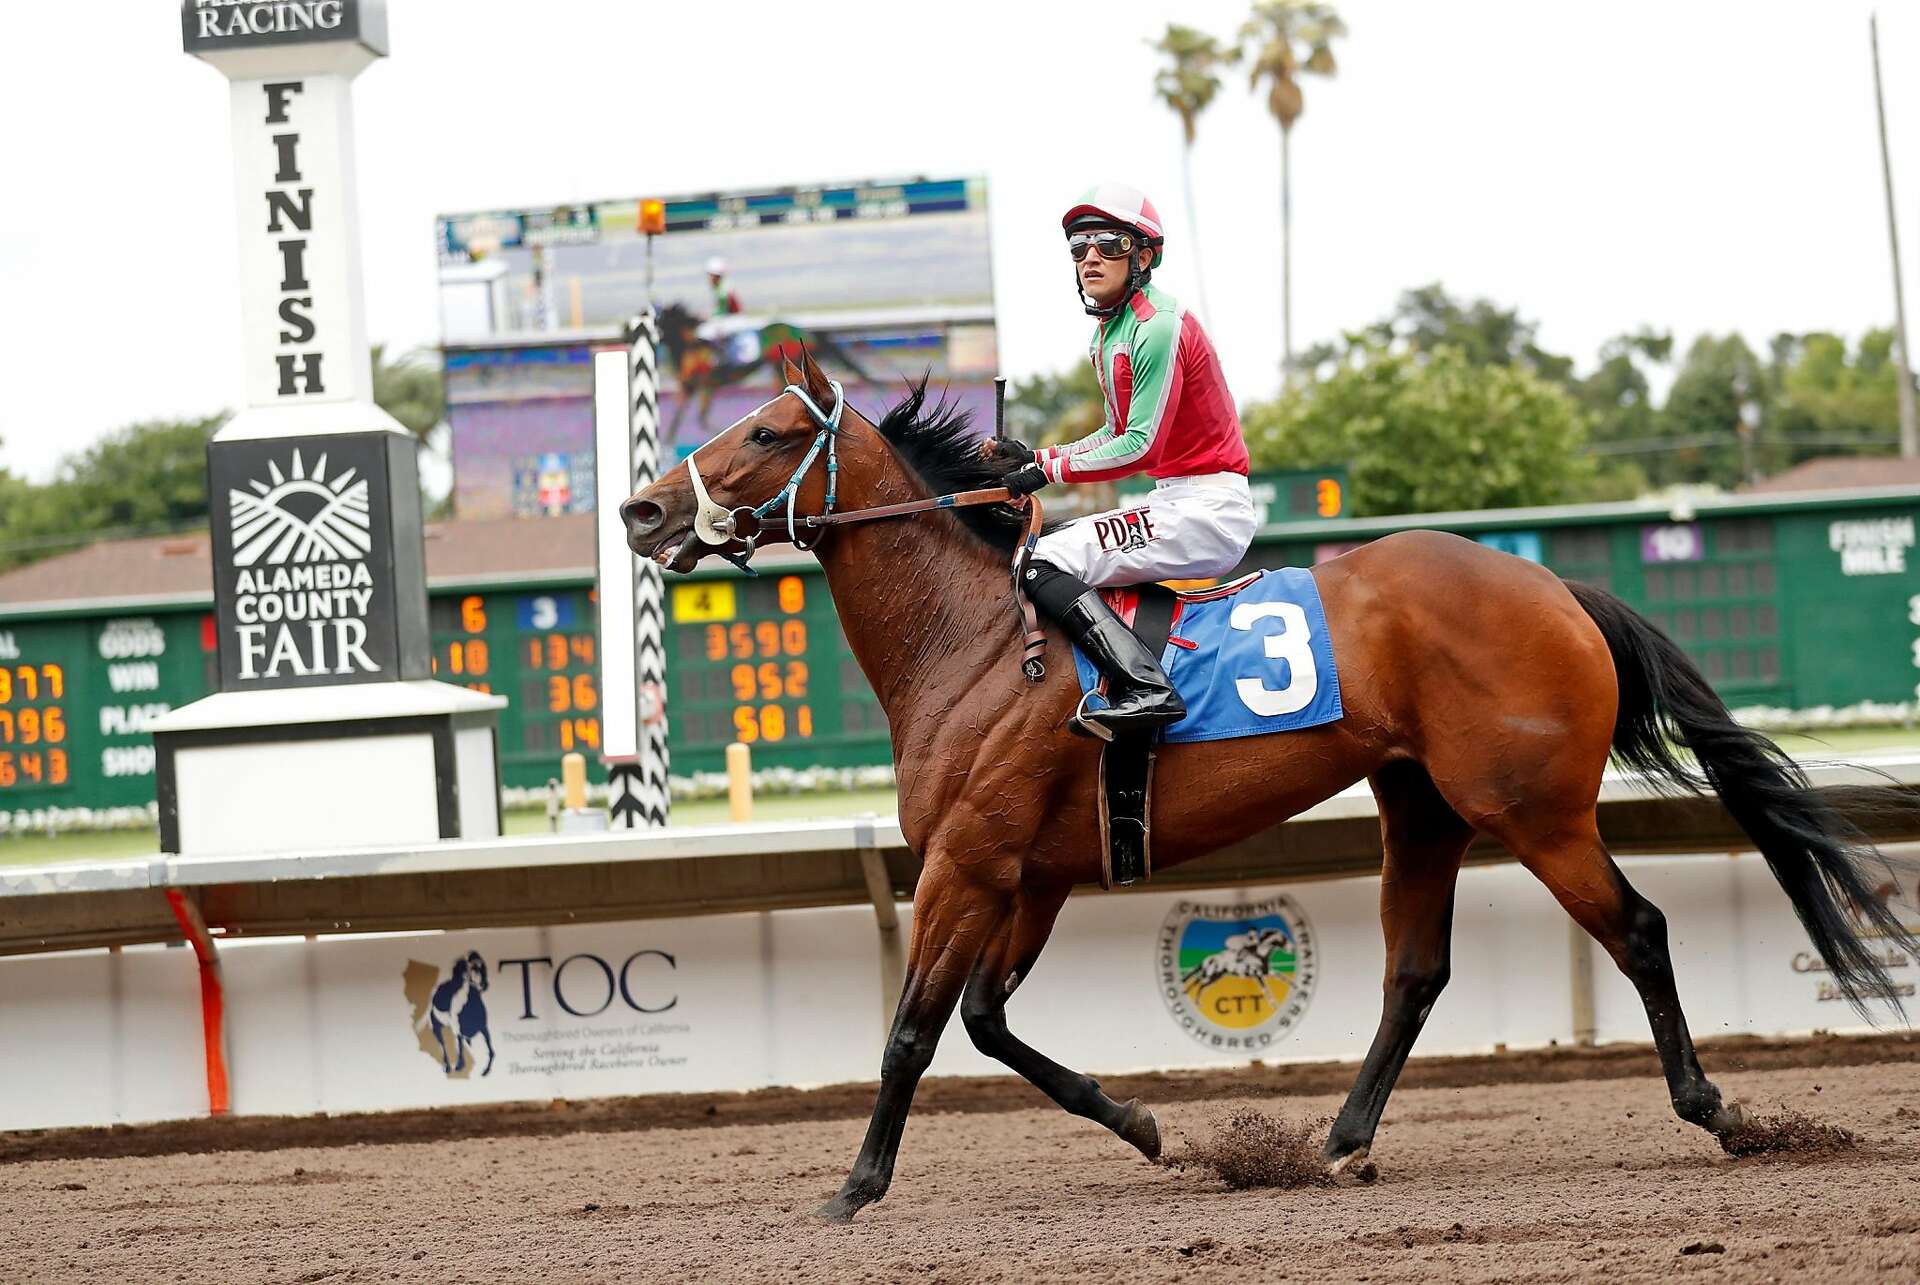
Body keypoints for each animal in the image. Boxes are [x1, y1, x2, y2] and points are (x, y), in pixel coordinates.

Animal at [620, 350, 1917, 1223]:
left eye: (769, 432)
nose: (642, 507)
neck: (976, 644)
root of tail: (1553, 587)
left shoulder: (966, 863)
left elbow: (912, 1031)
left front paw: (854, 1184)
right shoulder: (1031, 874)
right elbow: (986, 1022)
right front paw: (1149, 1126)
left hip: (1532, 809)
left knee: (1637, 928)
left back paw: (1717, 1110)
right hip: (1421, 806)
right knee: (1415, 970)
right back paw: (1338, 1141)